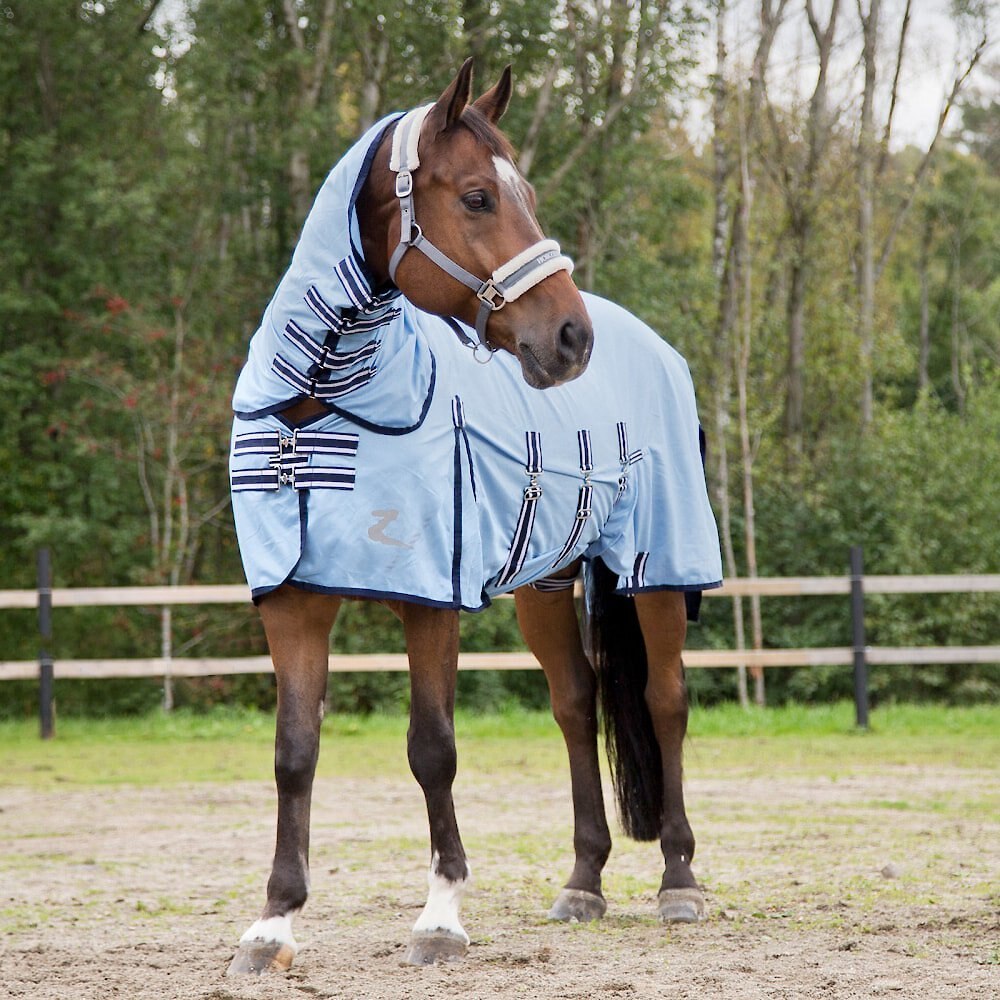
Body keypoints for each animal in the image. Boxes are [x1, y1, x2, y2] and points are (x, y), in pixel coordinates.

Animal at [226, 59, 722, 974]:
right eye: (480, 196)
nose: (570, 338)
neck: (321, 406)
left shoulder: (429, 600)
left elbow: (433, 749)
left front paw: (440, 918)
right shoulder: (293, 600)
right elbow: (294, 753)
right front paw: (272, 926)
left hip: (659, 570)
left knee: (666, 700)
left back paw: (679, 881)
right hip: (546, 583)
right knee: (575, 702)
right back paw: (583, 882)